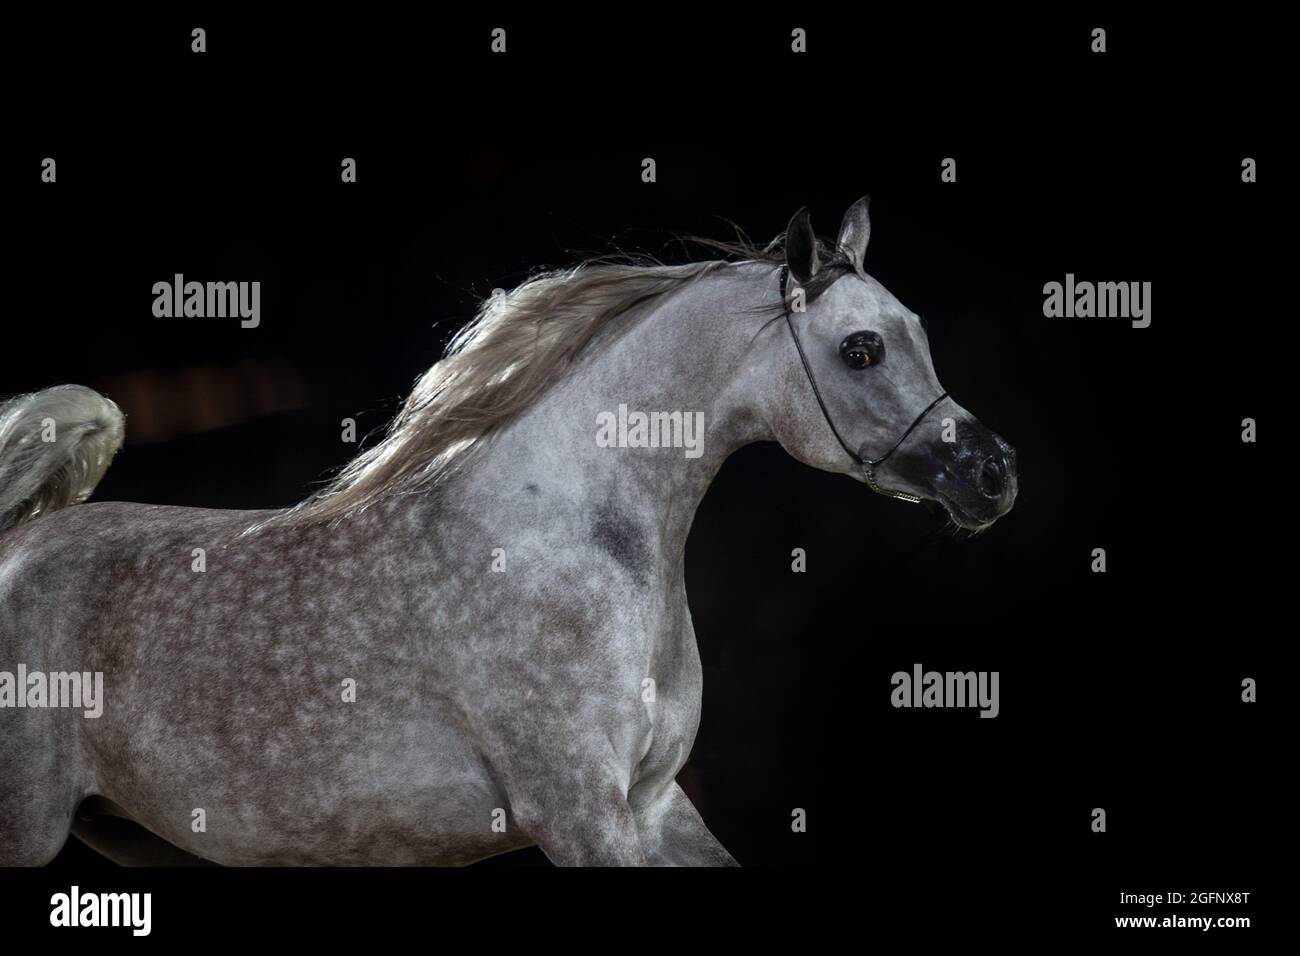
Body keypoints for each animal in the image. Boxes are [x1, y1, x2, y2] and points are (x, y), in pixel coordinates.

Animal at [0, 198, 1017, 866]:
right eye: (862, 349)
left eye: (915, 328)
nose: (994, 474)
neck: (559, 544)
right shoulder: (580, 813)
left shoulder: (654, 807)